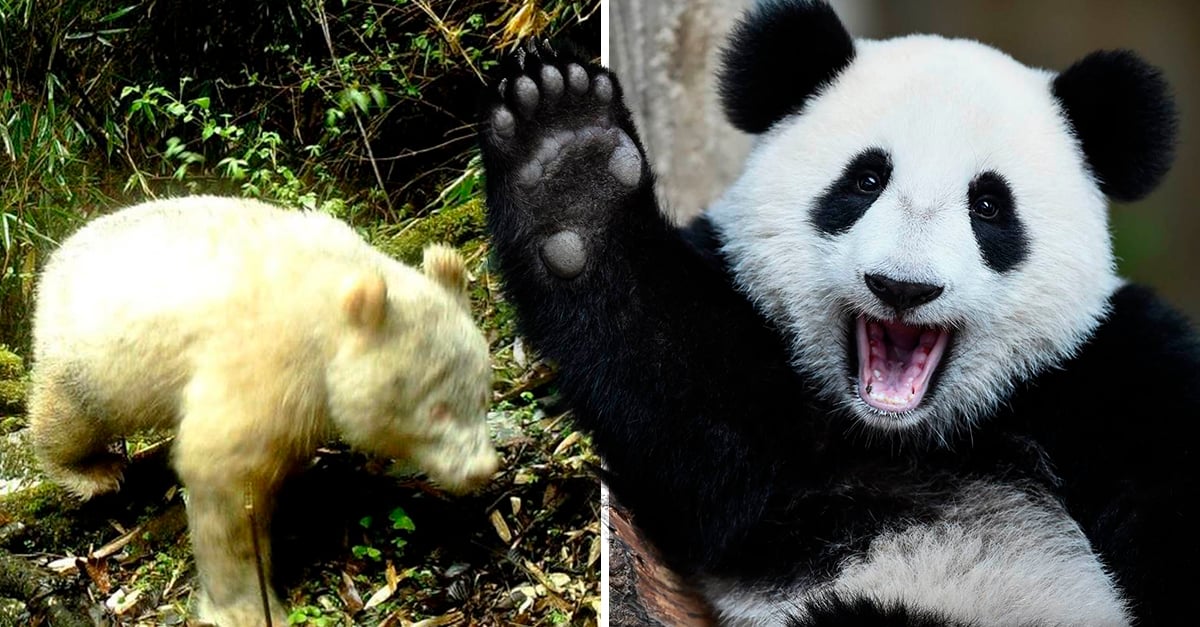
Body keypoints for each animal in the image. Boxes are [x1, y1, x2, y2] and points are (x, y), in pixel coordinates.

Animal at [477, 1, 1197, 625]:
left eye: (990, 206)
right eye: (866, 181)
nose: (903, 287)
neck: (912, 437)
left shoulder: (1109, 369)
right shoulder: (769, 456)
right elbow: (688, 404)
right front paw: (569, 164)